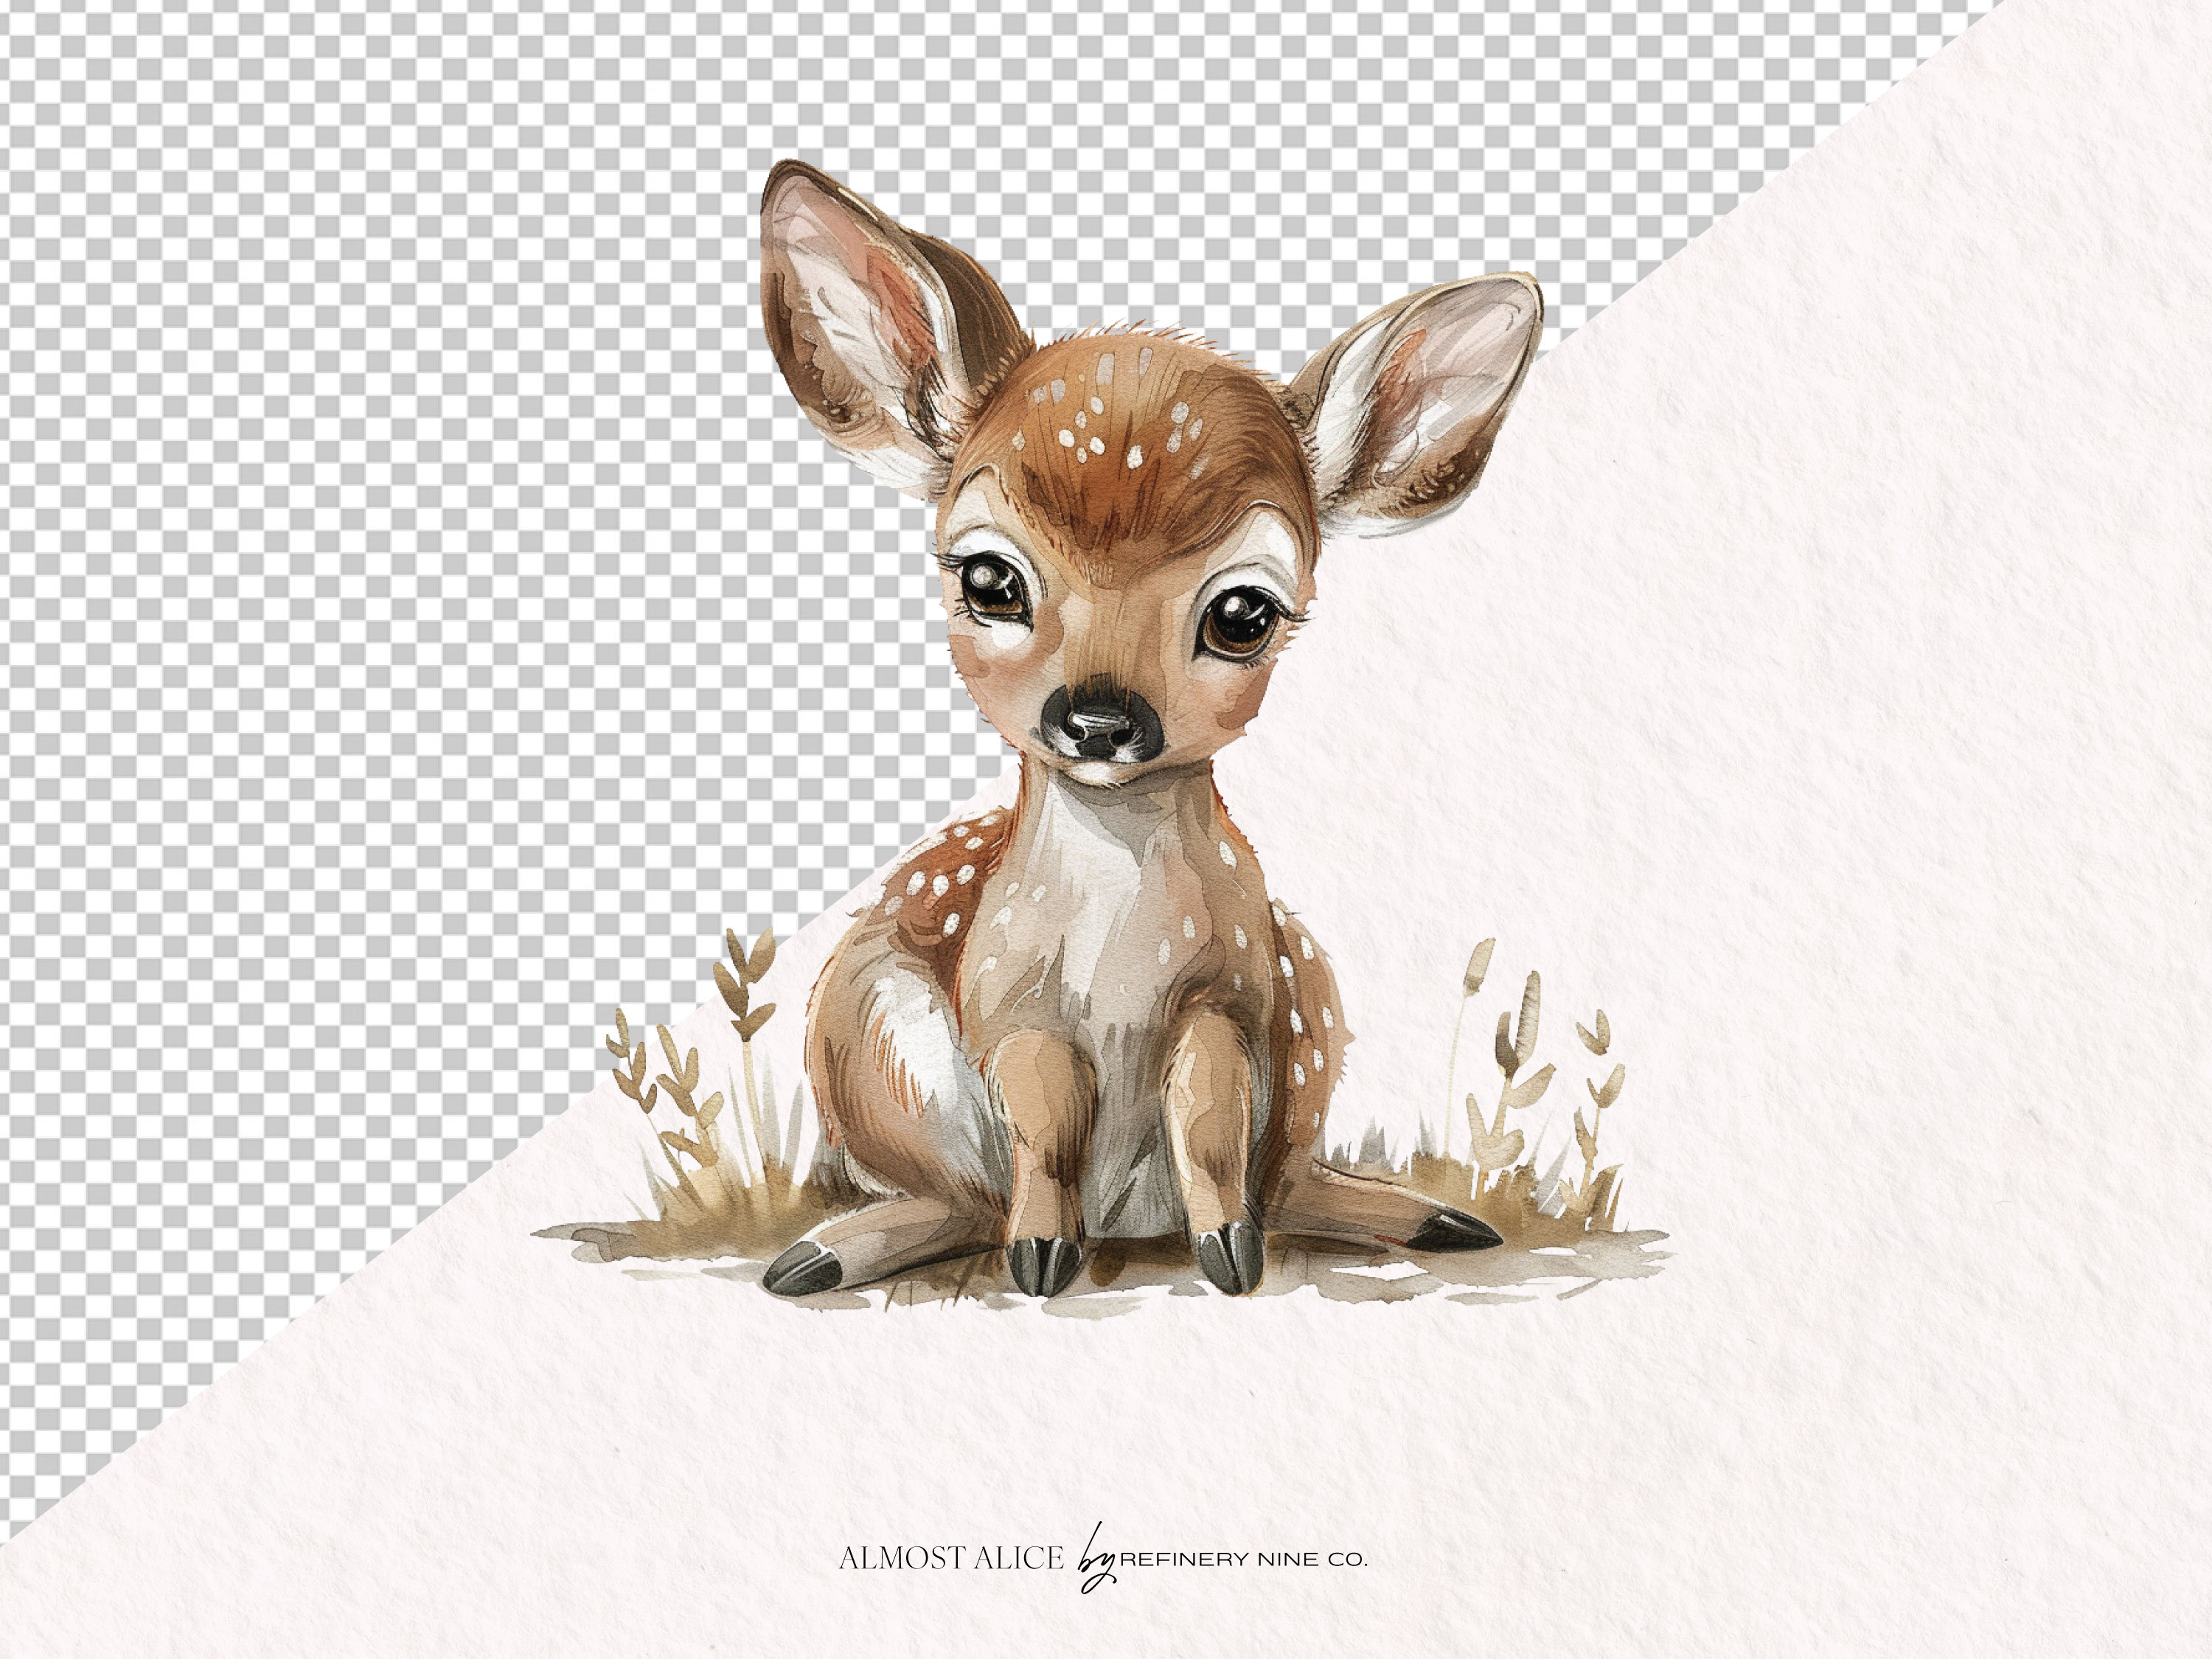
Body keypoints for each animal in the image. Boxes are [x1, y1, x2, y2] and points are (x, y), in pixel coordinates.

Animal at [756, 160, 1544, 1300]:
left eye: (1245, 612)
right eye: (988, 579)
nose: (1097, 716)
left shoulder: (1236, 990)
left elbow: (1210, 1116)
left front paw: (1228, 1253)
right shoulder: (1007, 1005)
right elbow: (1046, 1119)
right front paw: (1045, 1253)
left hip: (1304, 996)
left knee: (1286, 1176)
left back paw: (1426, 1217)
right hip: (862, 1029)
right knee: (960, 1197)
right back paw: (828, 1252)